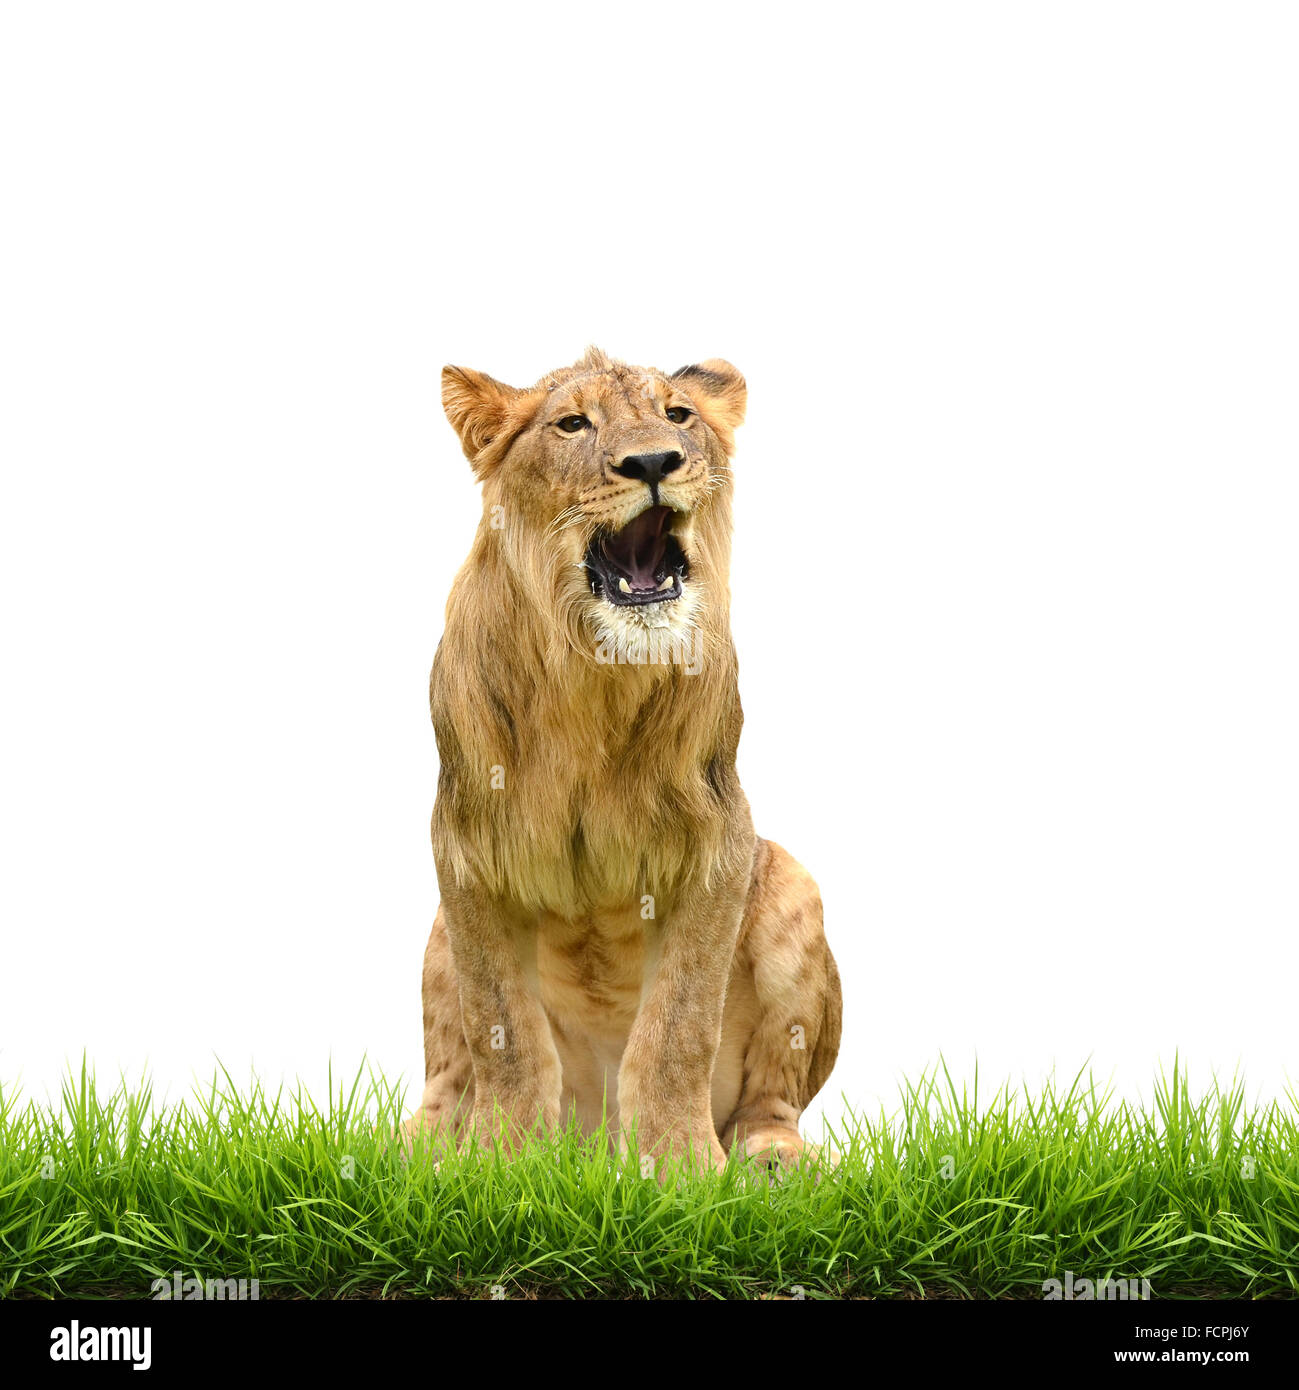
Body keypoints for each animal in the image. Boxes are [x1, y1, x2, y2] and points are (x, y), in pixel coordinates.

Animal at [405, 346, 841, 1172]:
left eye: (678, 416)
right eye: (572, 424)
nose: (652, 462)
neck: (596, 678)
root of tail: (593, 1141)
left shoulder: (718, 844)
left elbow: (678, 1024)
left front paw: (680, 1167)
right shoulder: (467, 850)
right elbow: (500, 1029)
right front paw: (497, 1163)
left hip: (791, 888)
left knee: (772, 1097)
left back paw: (771, 1161)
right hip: (439, 938)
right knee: (448, 1073)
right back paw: (417, 1150)